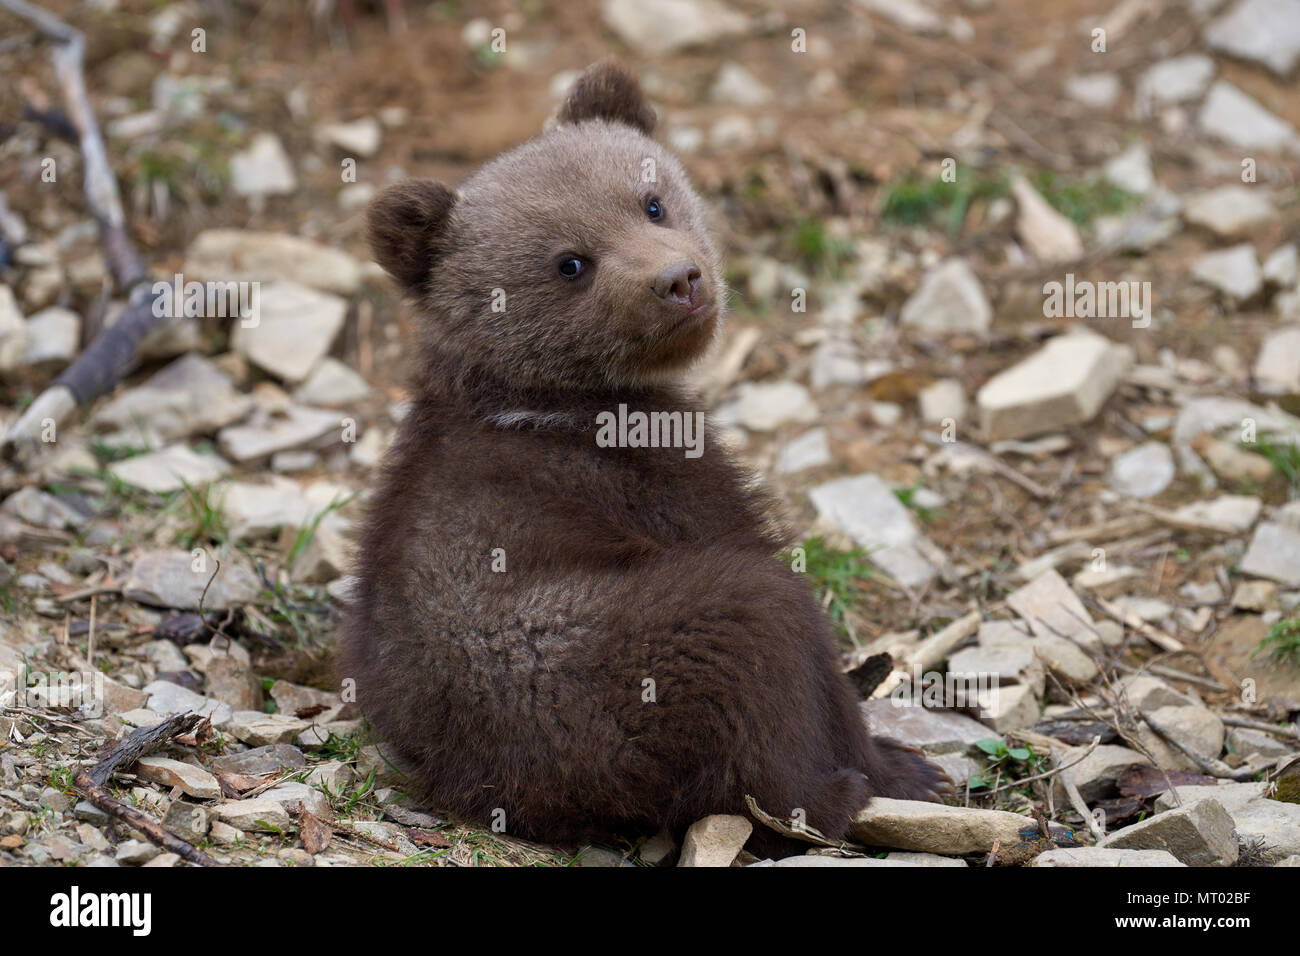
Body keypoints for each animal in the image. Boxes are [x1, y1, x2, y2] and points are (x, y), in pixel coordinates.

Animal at [340, 60, 951, 859]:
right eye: (570, 262)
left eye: (651, 203)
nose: (679, 280)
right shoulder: (658, 484)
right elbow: (788, 598)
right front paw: (901, 761)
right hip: (615, 663)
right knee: (759, 637)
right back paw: (840, 790)